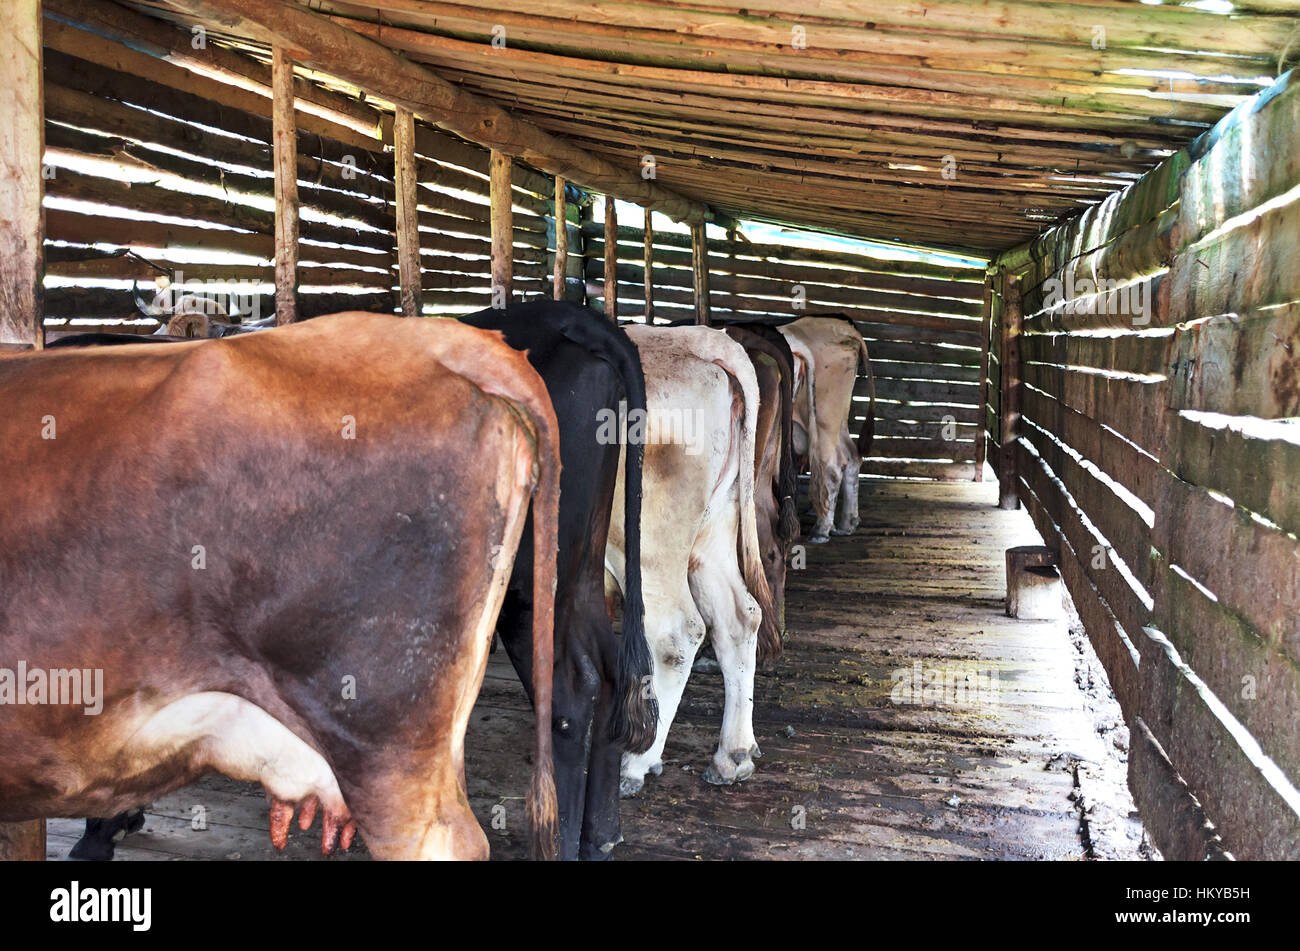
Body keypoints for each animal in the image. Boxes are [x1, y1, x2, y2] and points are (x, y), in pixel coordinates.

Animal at [460, 301, 655, 860]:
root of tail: (571, 315)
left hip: (527, 586)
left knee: (569, 697)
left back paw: (560, 841)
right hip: (583, 565)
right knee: (610, 672)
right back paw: (601, 834)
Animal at [604, 325, 776, 794]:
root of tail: (695, 338)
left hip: (644, 541)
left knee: (676, 632)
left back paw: (637, 762)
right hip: (711, 530)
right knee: (740, 616)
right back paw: (733, 755)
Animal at [779, 315, 876, 544]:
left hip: (824, 418)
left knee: (832, 466)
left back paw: (821, 530)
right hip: (834, 421)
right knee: (851, 457)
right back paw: (847, 524)